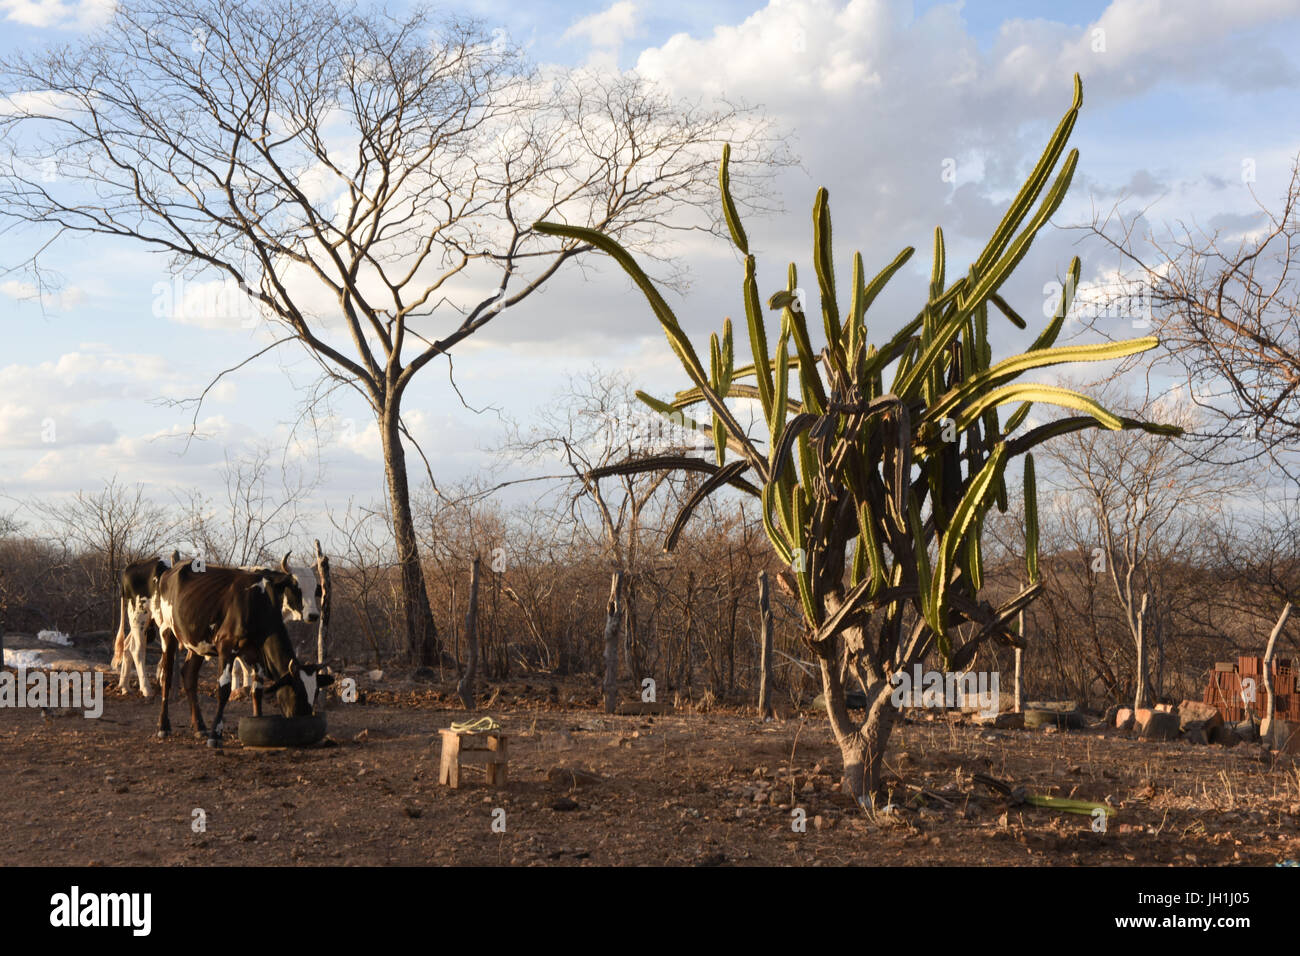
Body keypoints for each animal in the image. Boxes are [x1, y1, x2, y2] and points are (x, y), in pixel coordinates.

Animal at [150, 563, 332, 742]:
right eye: (297, 691)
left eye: (316, 692)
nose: (306, 719)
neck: (257, 602)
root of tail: (170, 570)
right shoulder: (226, 647)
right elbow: (224, 689)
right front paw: (215, 735)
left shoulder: (257, 655)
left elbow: (257, 690)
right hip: (167, 632)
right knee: (166, 677)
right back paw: (163, 727)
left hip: (197, 642)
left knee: (189, 675)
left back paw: (199, 727)